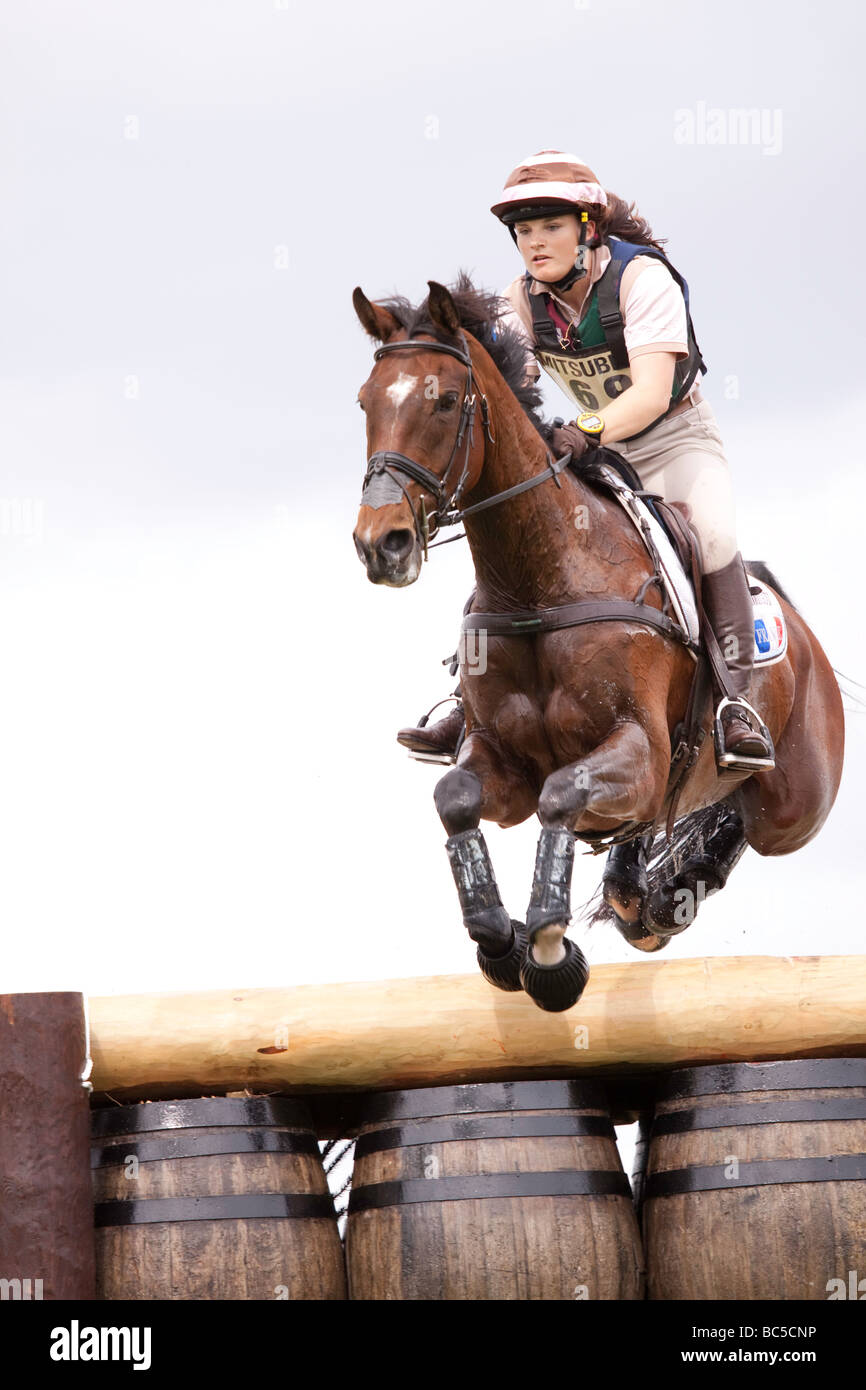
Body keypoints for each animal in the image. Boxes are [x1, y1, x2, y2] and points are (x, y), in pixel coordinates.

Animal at [351, 273, 845, 1012]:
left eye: (444, 402)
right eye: (365, 402)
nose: (381, 544)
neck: (539, 582)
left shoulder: (637, 754)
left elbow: (562, 794)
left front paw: (550, 957)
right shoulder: (502, 765)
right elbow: (457, 799)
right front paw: (501, 943)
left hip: (796, 805)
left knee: (745, 816)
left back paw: (675, 884)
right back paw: (643, 888)